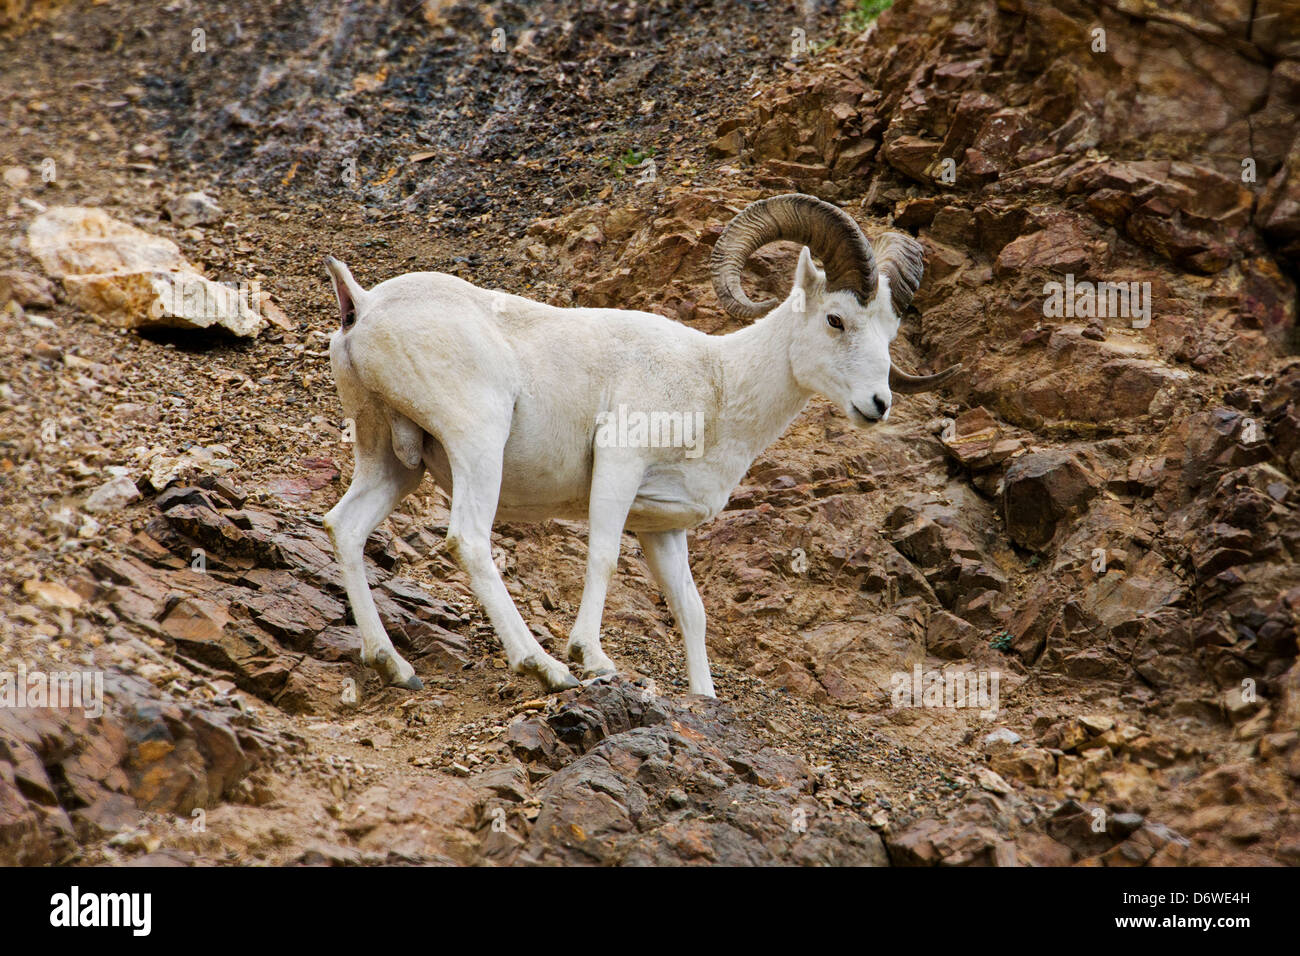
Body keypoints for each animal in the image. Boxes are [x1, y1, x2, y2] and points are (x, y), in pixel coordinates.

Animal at [322, 193, 958, 698]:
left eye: (889, 332)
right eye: (835, 320)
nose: (878, 403)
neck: (717, 384)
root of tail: (363, 306)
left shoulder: (663, 529)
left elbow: (690, 609)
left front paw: (705, 697)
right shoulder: (618, 470)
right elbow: (603, 556)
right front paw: (593, 659)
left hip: (389, 460)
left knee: (346, 527)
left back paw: (394, 666)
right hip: (479, 444)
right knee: (470, 541)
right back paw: (545, 668)